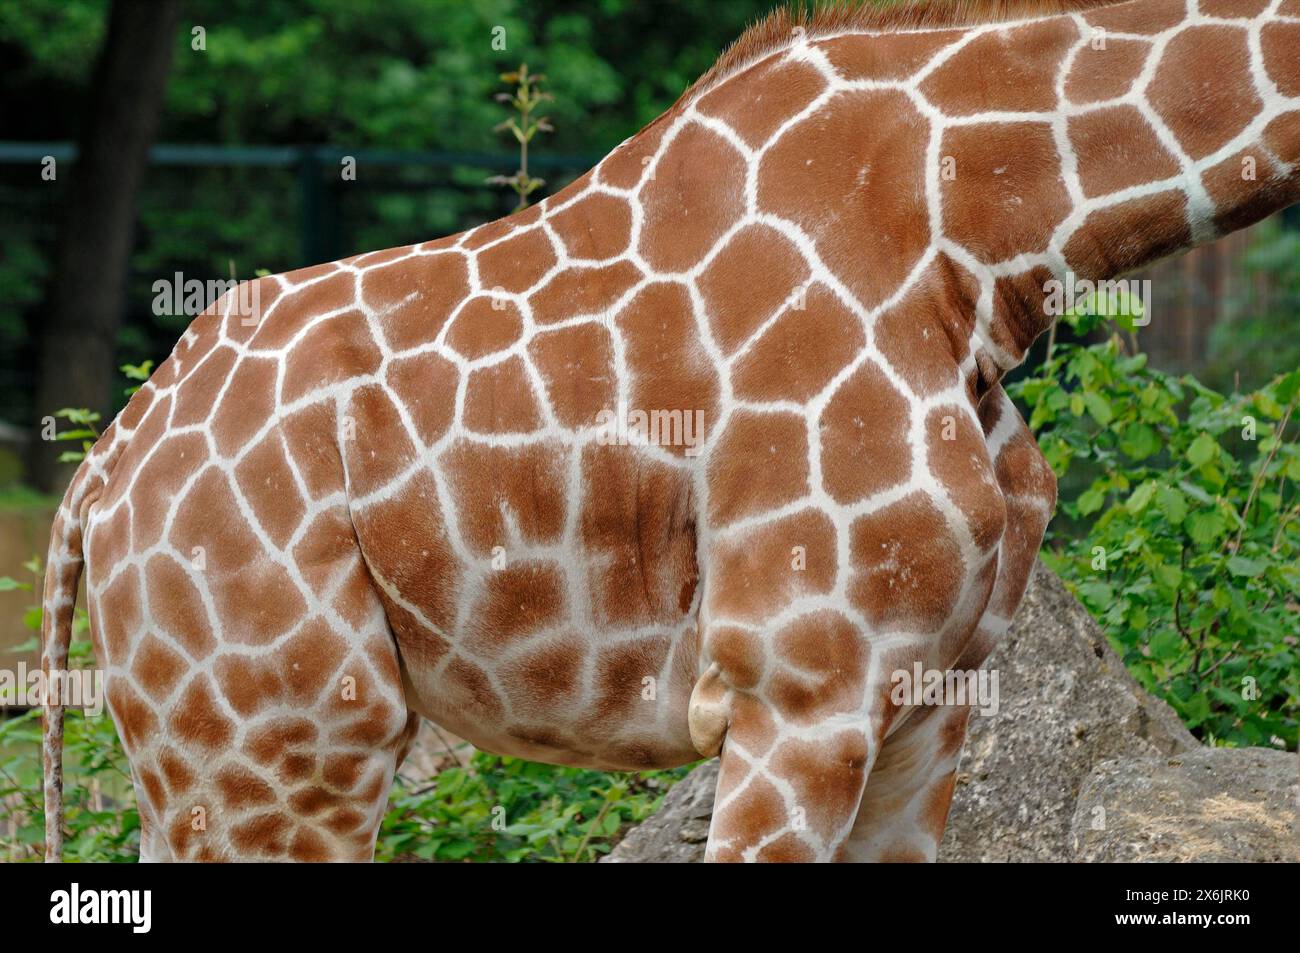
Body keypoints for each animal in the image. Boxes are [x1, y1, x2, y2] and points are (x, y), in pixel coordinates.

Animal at [40, 0, 1300, 862]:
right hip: (285, 743)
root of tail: (97, 479)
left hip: (198, 751)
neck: (978, 246)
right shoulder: (798, 681)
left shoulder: (933, 697)